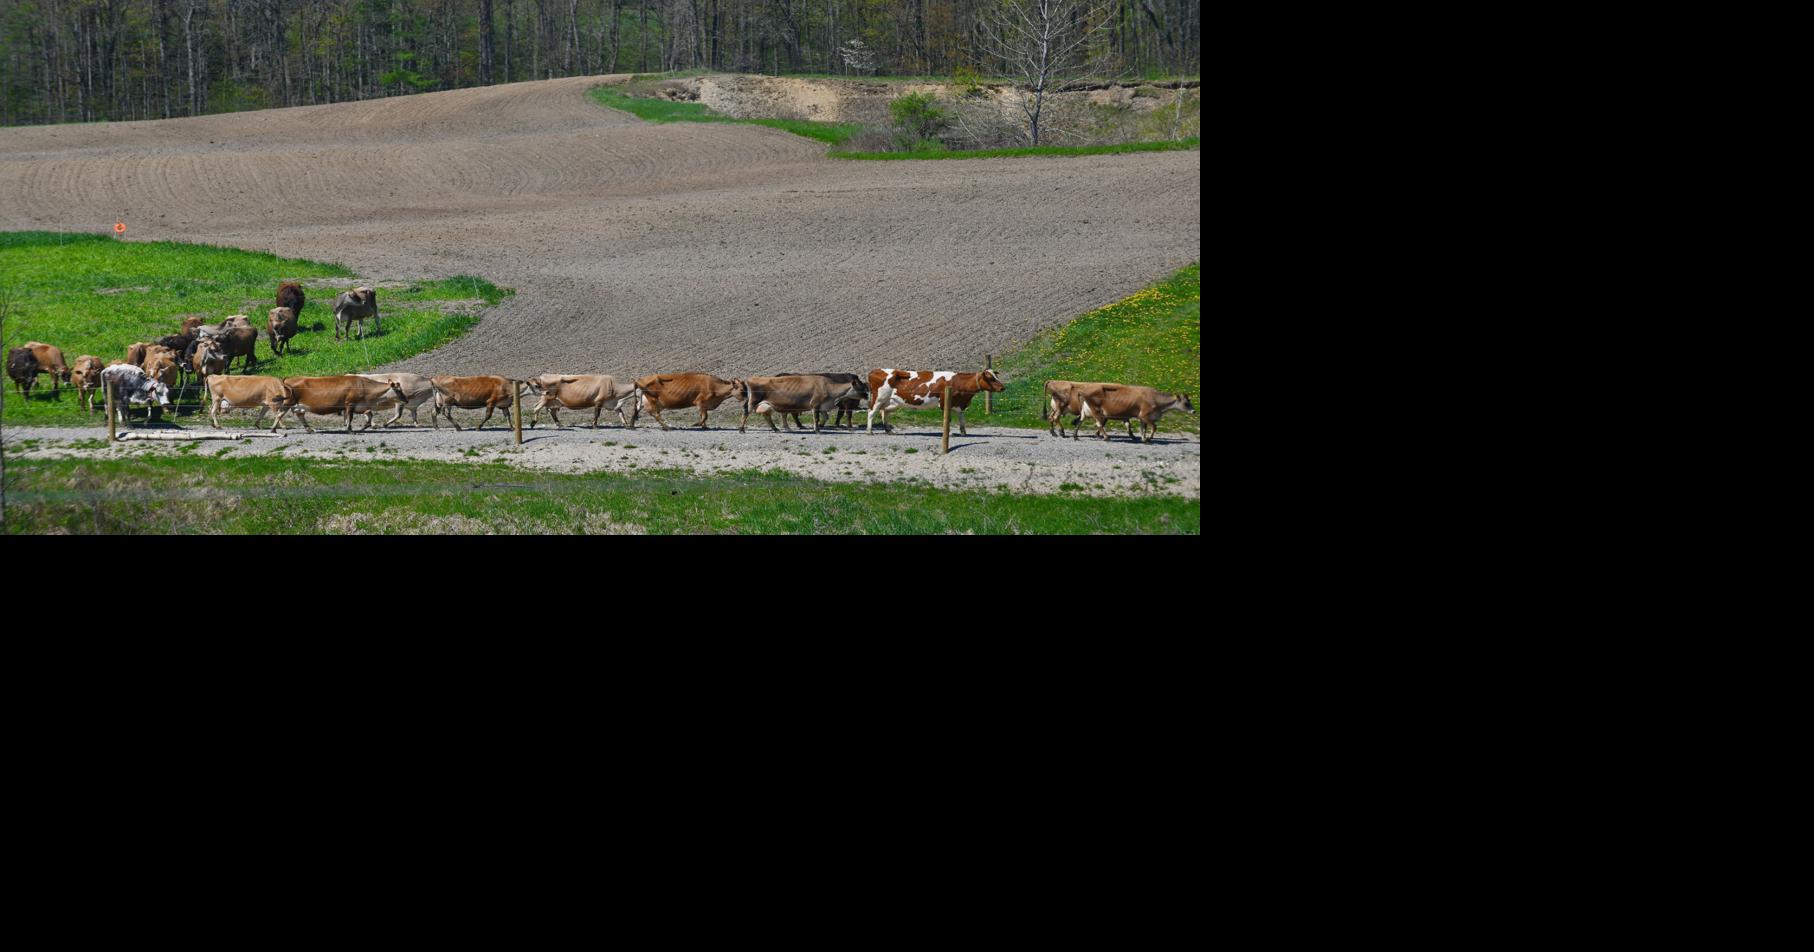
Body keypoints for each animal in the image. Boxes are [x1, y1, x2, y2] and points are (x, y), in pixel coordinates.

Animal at [278, 375, 407, 432]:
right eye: (399, 390)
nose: (406, 400)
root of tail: (289, 378)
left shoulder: (360, 405)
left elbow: (369, 414)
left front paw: (364, 427)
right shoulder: (350, 403)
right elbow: (350, 417)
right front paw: (349, 429)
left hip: (298, 405)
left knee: (300, 415)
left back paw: (309, 429)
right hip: (288, 402)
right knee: (280, 414)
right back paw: (280, 428)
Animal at [865, 368, 1004, 435]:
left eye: (996, 376)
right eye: (991, 378)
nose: (1003, 387)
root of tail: (876, 370)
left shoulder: (959, 404)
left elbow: (961, 418)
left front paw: (963, 432)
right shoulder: (944, 402)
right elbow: (947, 419)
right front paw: (948, 433)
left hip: (892, 402)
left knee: (885, 413)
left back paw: (888, 430)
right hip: (879, 398)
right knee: (871, 412)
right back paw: (869, 431)